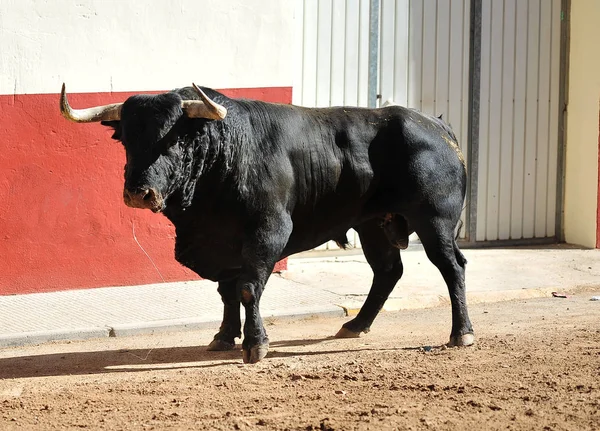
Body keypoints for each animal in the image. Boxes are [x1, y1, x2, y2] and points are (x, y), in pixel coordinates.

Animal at [61, 82, 474, 362]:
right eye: (125, 140)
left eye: (174, 141)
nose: (138, 193)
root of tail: (436, 127)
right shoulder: (221, 245)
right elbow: (227, 292)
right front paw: (224, 338)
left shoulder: (268, 234)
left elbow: (248, 289)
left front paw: (256, 344)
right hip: (372, 224)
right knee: (387, 271)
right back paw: (355, 325)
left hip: (434, 221)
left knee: (451, 267)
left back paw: (462, 334)